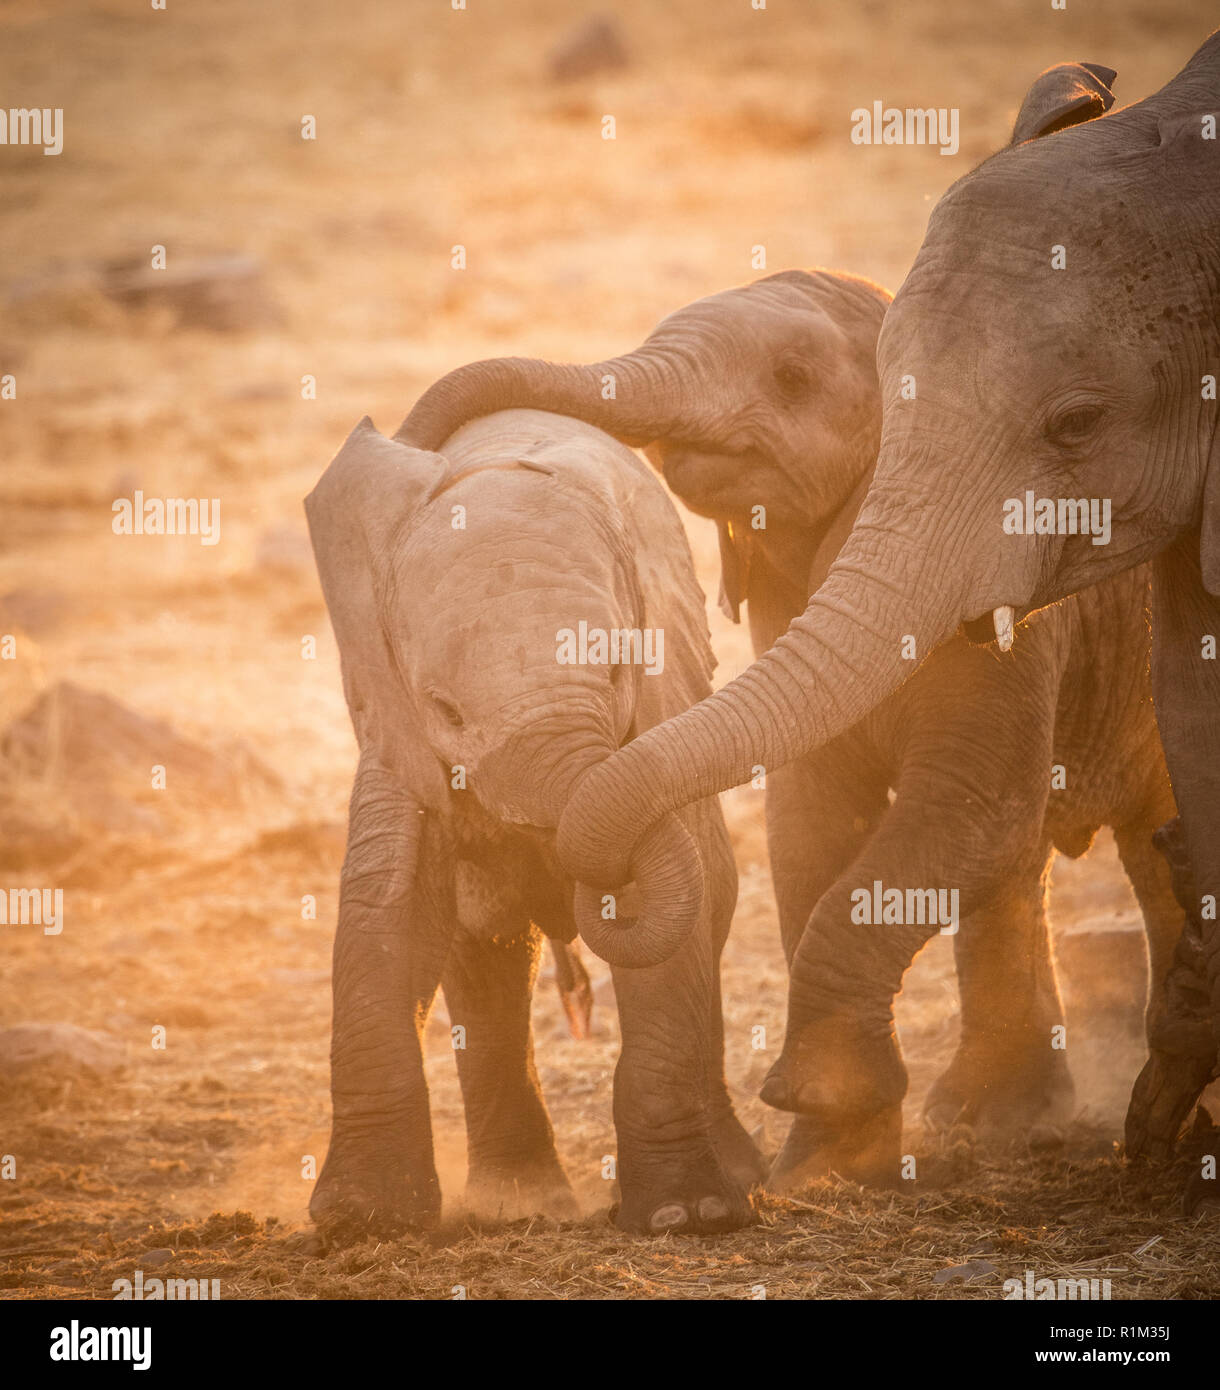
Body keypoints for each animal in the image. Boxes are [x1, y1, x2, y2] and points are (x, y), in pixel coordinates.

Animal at [304, 407, 763, 1240]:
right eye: (446, 710)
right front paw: (361, 1219)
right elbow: (387, 912)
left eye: (616, 669)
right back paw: (517, 1201)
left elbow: (670, 935)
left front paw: (687, 1213)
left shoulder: (655, 713)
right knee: (483, 958)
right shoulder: (393, 727)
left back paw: (732, 1180)